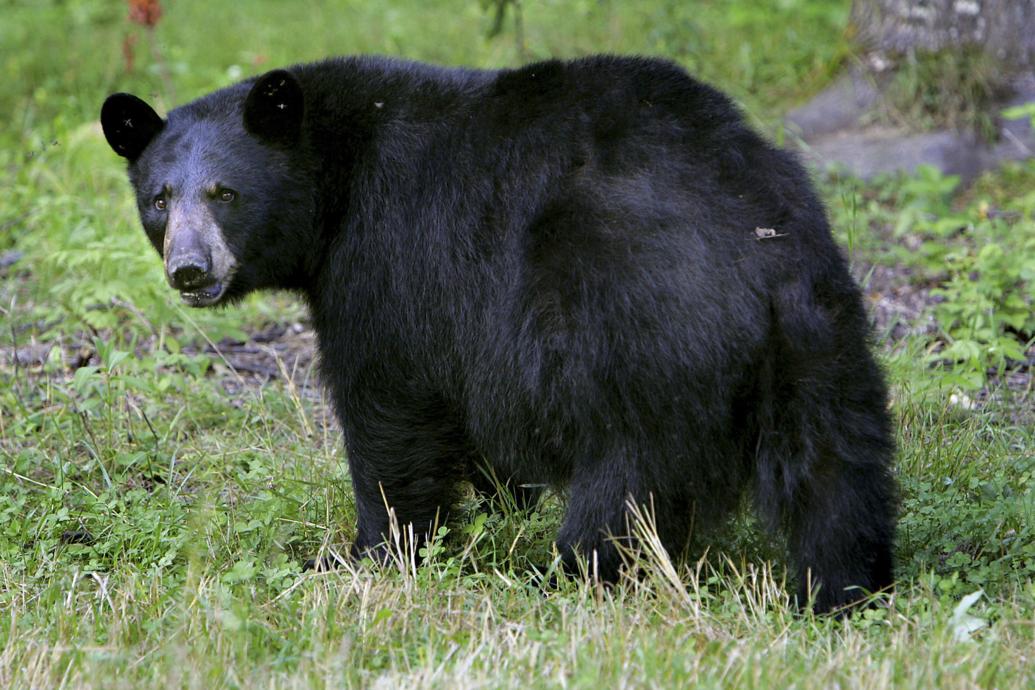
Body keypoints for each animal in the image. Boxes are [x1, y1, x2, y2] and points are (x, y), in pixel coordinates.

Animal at [101, 55, 896, 614]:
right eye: (159, 199)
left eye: (225, 193)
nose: (190, 269)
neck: (334, 181)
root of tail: (752, 247)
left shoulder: (389, 262)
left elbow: (387, 409)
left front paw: (370, 554)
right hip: (820, 336)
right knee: (836, 469)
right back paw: (842, 590)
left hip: (641, 335)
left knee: (629, 482)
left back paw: (570, 575)